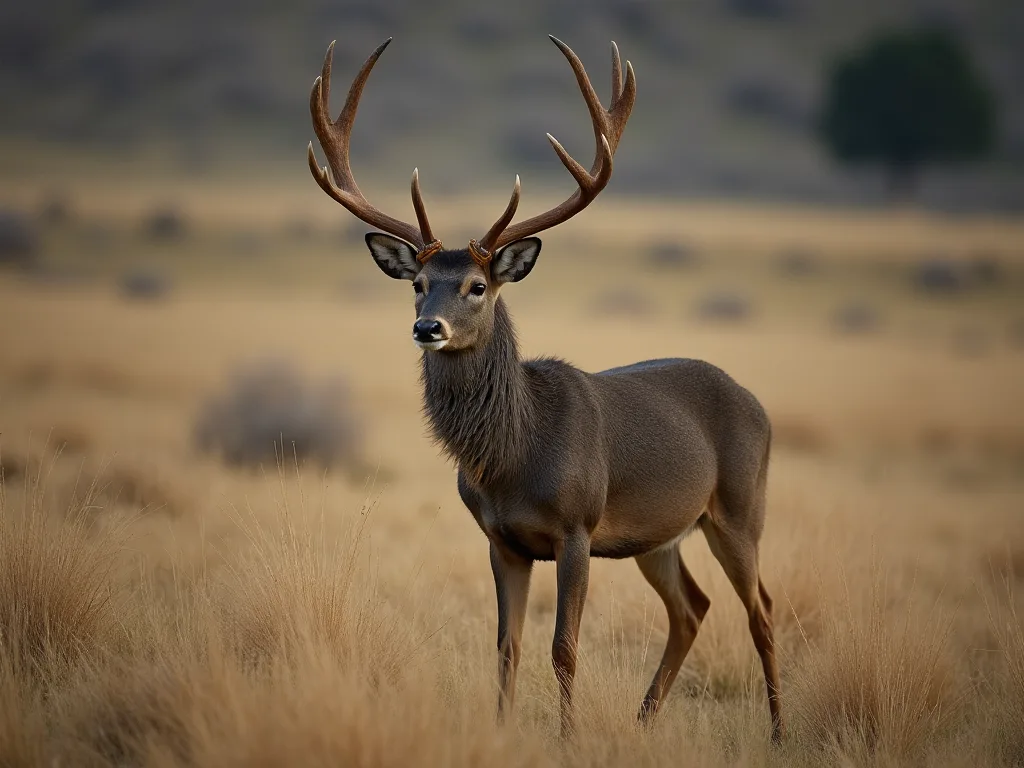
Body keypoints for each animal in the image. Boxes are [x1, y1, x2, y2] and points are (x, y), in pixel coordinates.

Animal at [307, 36, 783, 742]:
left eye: (478, 285)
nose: (427, 327)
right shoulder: (501, 539)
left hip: (740, 506)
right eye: (418, 283)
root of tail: (758, 406)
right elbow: (507, 646)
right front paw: (501, 729)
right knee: (692, 607)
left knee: (763, 610)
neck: (515, 456)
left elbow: (564, 646)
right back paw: (643, 720)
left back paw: (778, 730)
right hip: (659, 535)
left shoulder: (577, 526)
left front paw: (568, 737)